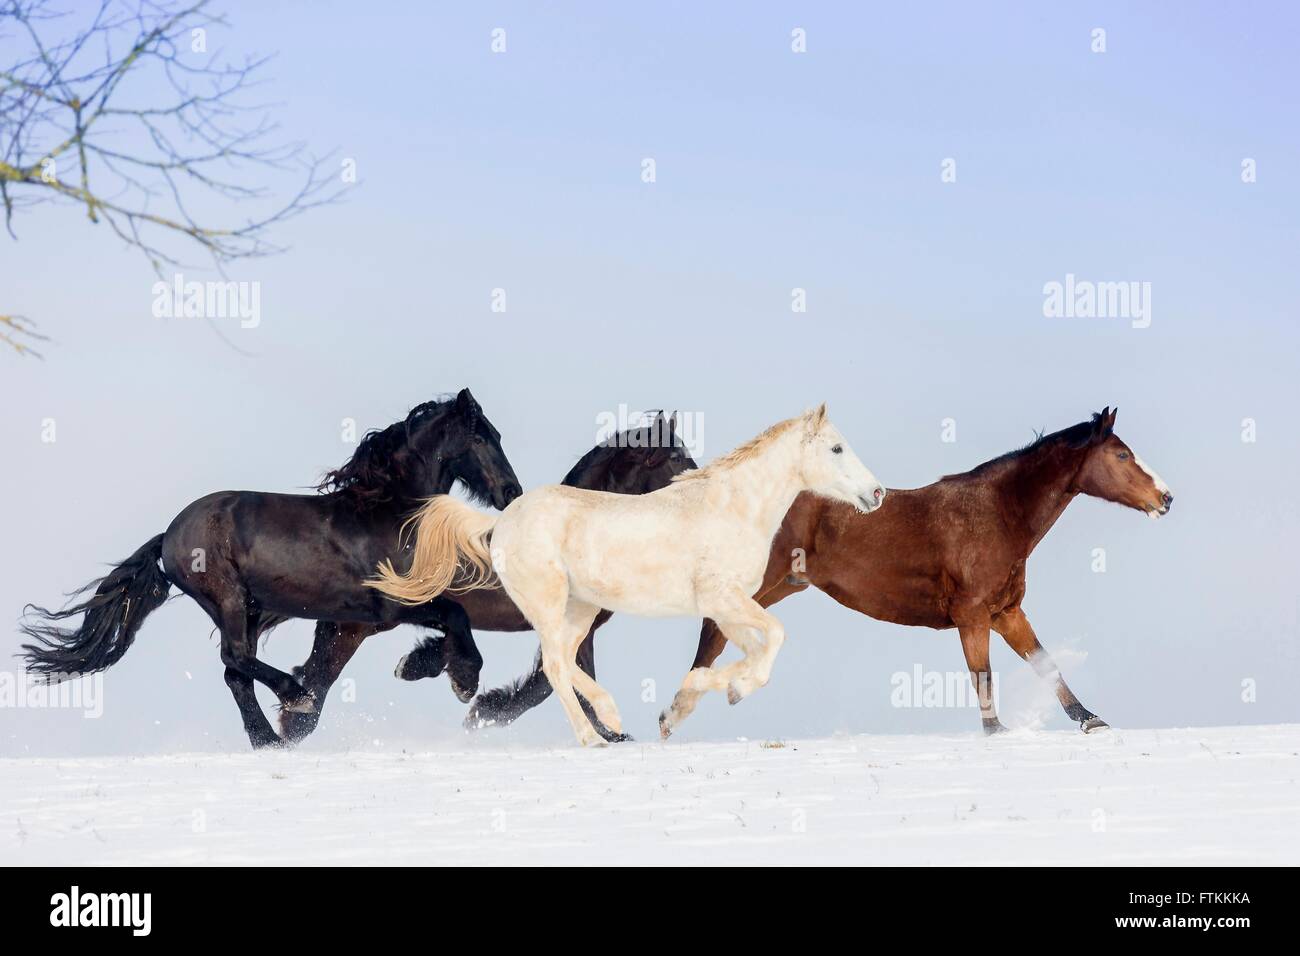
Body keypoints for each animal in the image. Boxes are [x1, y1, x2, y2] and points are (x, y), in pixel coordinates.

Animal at [20, 388, 523, 749]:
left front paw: (428, 668)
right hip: (228, 598)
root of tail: (168, 537)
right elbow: (456, 617)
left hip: (249, 609)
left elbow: (448, 623)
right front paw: (464, 681)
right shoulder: (388, 605)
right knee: (236, 660)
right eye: (483, 437)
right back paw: (294, 697)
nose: (512, 492)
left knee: (235, 673)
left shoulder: (371, 617)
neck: (387, 511)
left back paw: (268, 738)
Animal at [276, 412, 697, 744]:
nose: (701, 487)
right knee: (318, 676)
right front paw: (483, 711)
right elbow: (548, 682)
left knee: (313, 674)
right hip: (360, 626)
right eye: (676, 457)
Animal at [366, 404, 886, 746]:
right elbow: (773, 639)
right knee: (553, 667)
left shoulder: (728, 606)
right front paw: (731, 692)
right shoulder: (724, 600)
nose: (877, 493)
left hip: (581, 609)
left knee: (562, 662)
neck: (731, 509)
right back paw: (594, 736)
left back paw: (611, 719)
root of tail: (500, 523)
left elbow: (750, 652)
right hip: (551, 605)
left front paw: (684, 706)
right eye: (837, 448)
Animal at [472, 407, 1172, 739]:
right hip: (759, 589)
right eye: (1122, 455)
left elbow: (1047, 666)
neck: (996, 514)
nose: (1166, 498)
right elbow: (985, 681)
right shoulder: (972, 617)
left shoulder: (1006, 612)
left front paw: (1093, 721)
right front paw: (997, 733)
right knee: (709, 641)